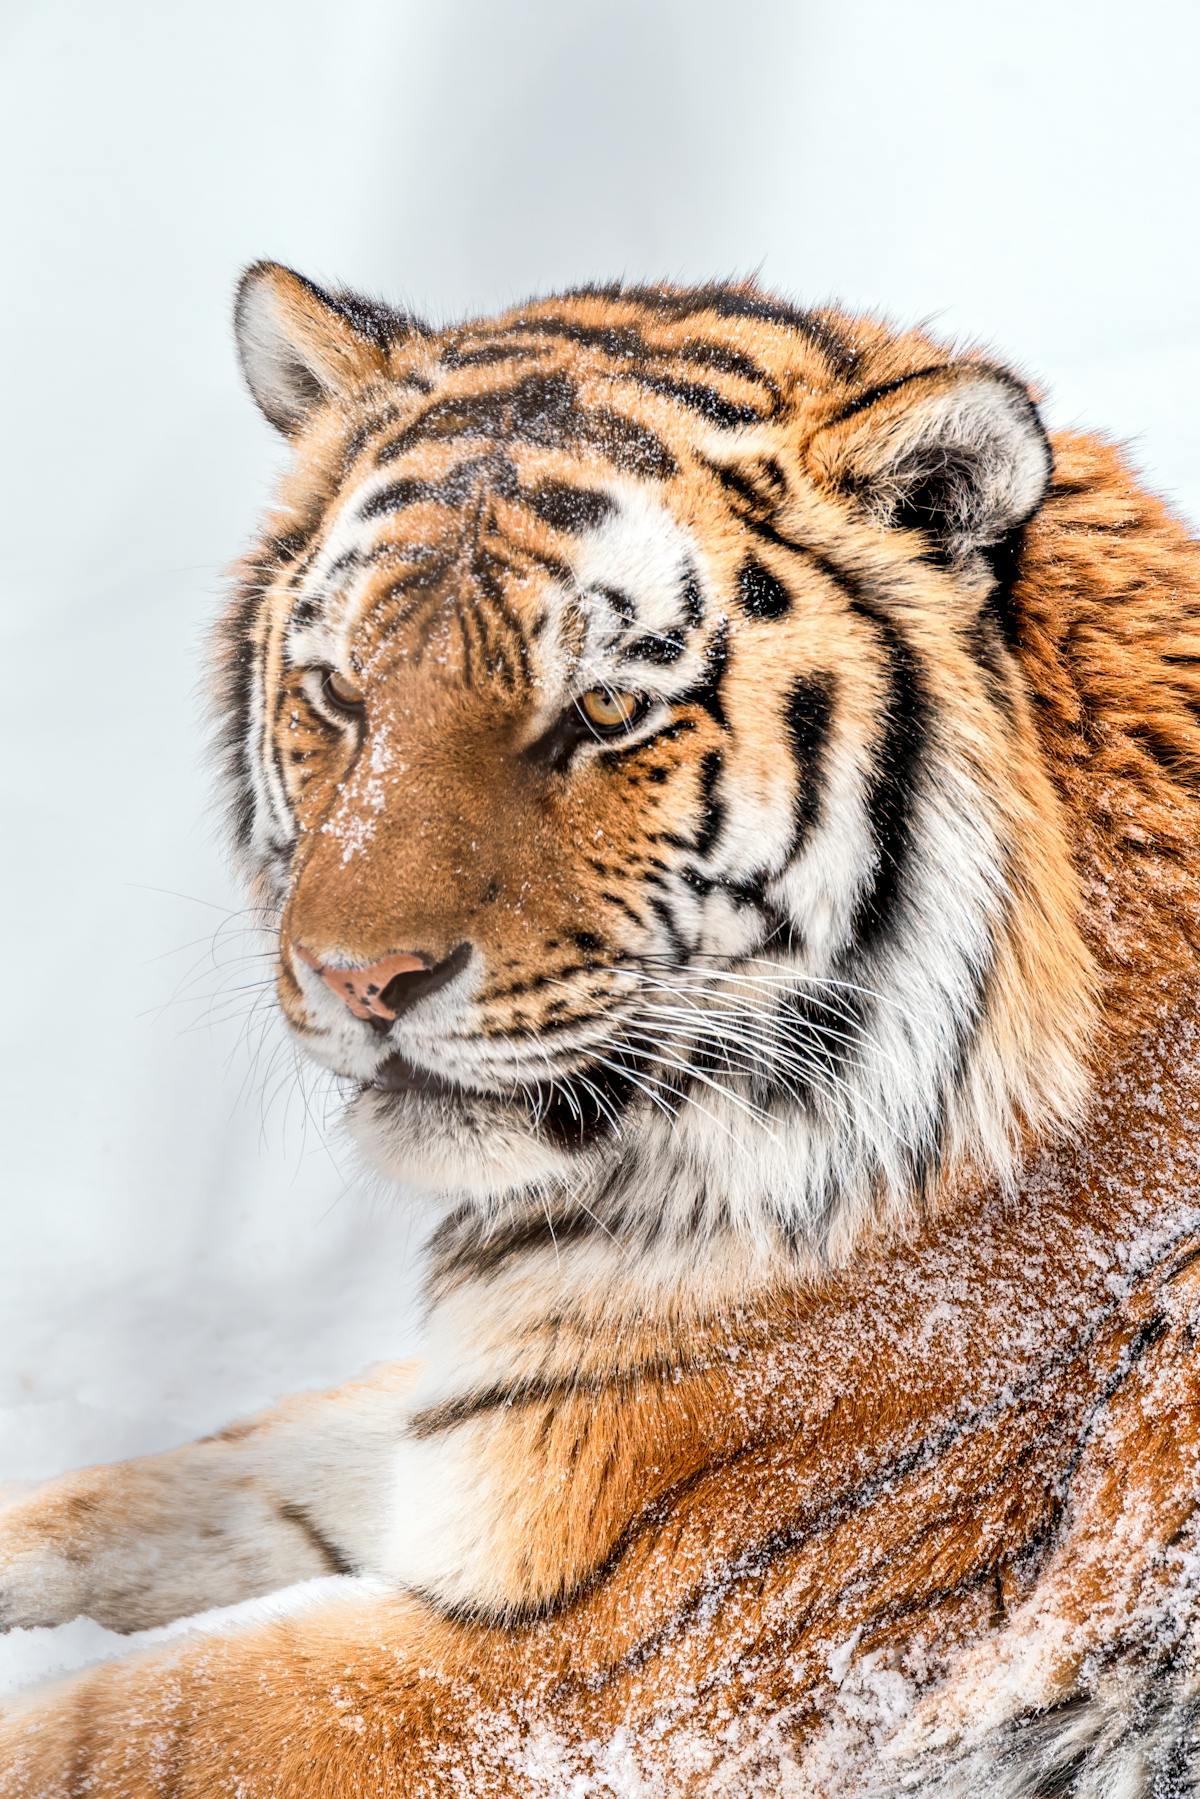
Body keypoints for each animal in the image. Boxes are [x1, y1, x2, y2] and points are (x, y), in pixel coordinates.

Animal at [2, 261, 1200, 1797]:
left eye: (609, 707)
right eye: (340, 692)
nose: (358, 977)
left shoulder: (579, 1661)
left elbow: (117, 1727)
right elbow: (146, 1486)